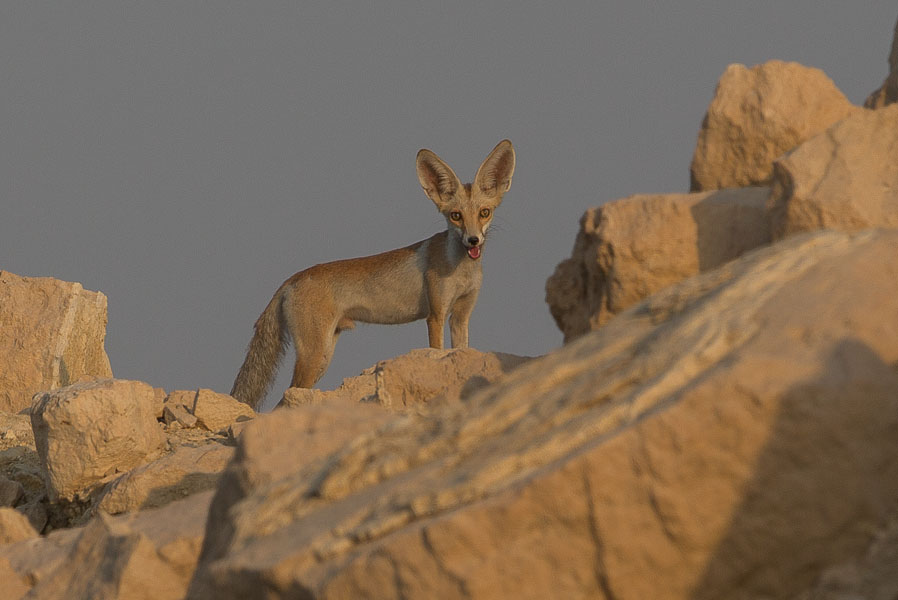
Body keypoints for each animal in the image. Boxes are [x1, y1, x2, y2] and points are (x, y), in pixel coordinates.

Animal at [230, 139, 516, 409]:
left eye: (484, 213)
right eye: (456, 216)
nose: (473, 240)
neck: (461, 270)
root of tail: (291, 279)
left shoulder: (461, 315)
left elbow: (461, 349)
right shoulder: (436, 315)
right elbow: (436, 350)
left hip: (323, 356)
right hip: (315, 356)